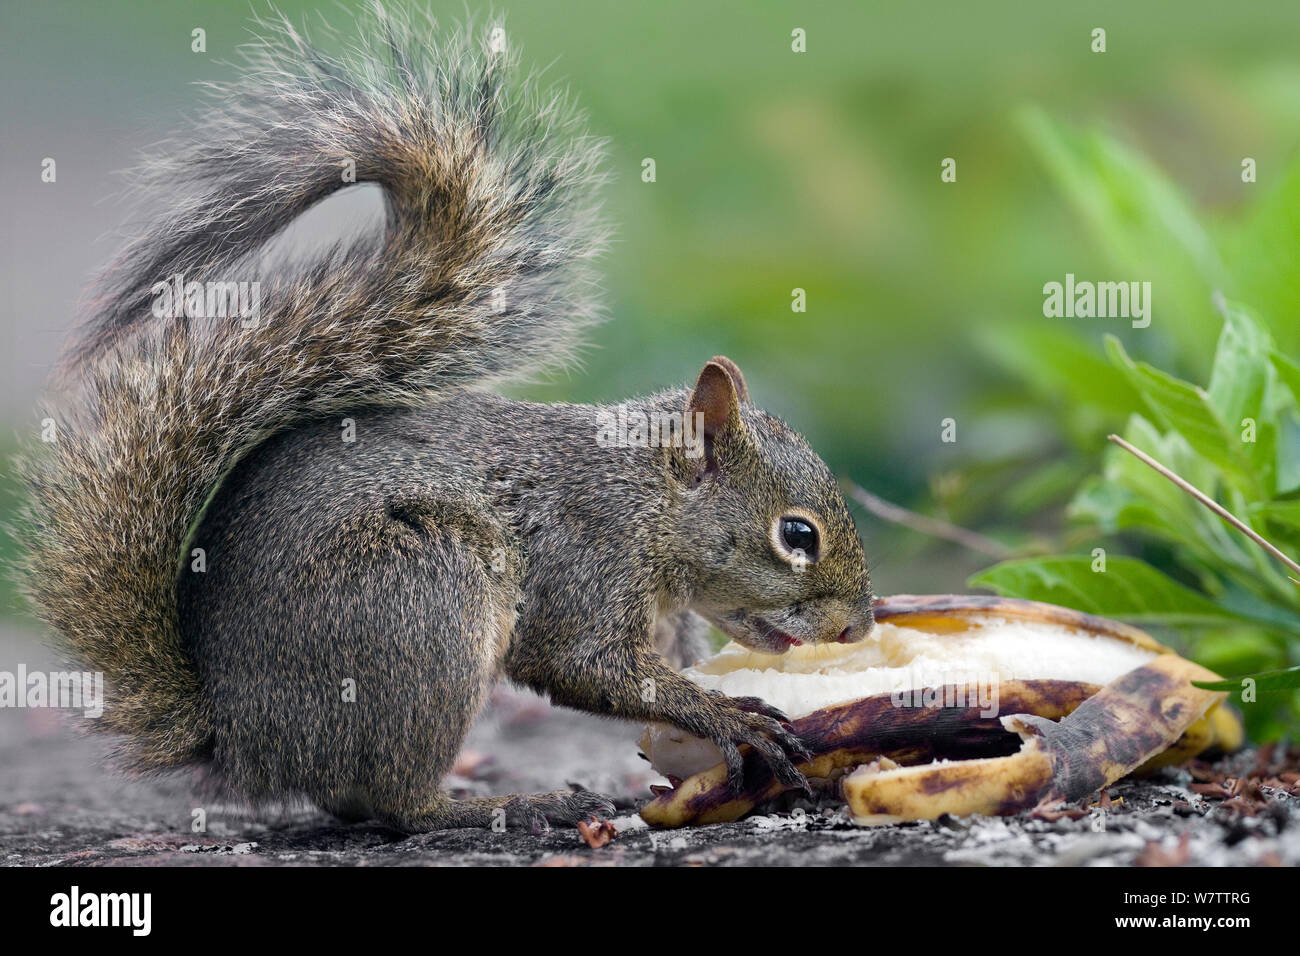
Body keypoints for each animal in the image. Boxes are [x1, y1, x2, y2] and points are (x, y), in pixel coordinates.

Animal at [16, 4, 875, 832]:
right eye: (796, 535)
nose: (858, 630)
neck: (649, 500)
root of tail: (241, 737)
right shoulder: (588, 557)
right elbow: (584, 665)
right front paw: (729, 716)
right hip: (421, 600)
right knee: (395, 804)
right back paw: (510, 807)